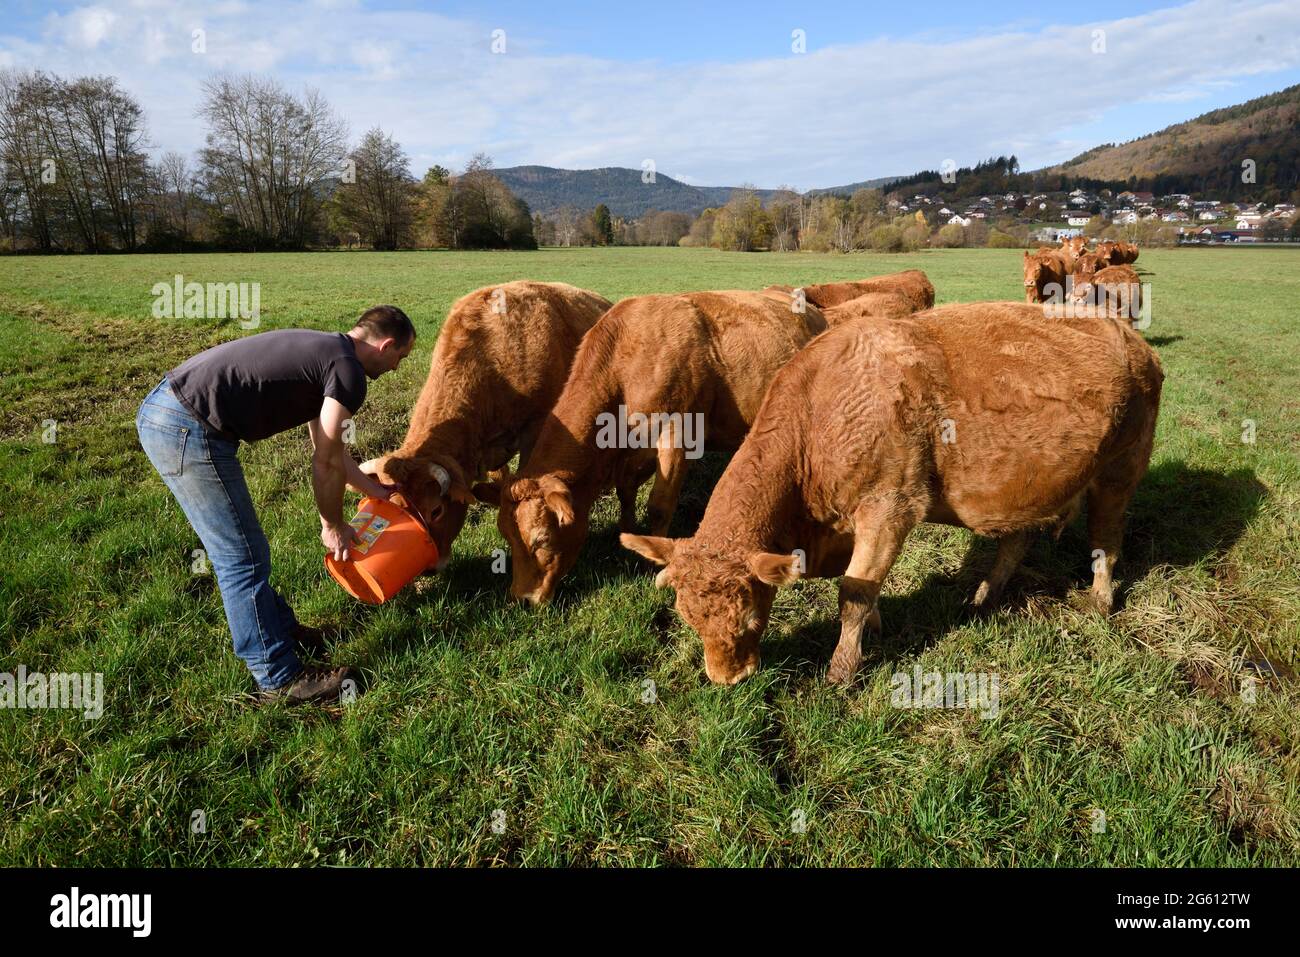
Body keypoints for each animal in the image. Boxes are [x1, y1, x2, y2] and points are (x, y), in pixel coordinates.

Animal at [481, 290, 829, 605]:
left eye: (541, 540)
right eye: (505, 535)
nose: (523, 598)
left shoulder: (677, 433)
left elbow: (659, 504)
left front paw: (652, 560)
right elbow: (625, 490)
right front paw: (625, 534)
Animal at [622, 302, 1163, 685]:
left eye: (751, 612)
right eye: (686, 617)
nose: (727, 678)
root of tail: (1133, 339)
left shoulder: (890, 507)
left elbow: (853, 592)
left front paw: (842, 671)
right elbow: (863, 583)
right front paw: (876, 629)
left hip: (1121, 469)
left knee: (1107, 539)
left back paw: (1099, 600)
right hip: (1029, 485)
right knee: (1016, 539)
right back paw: (984, 596)